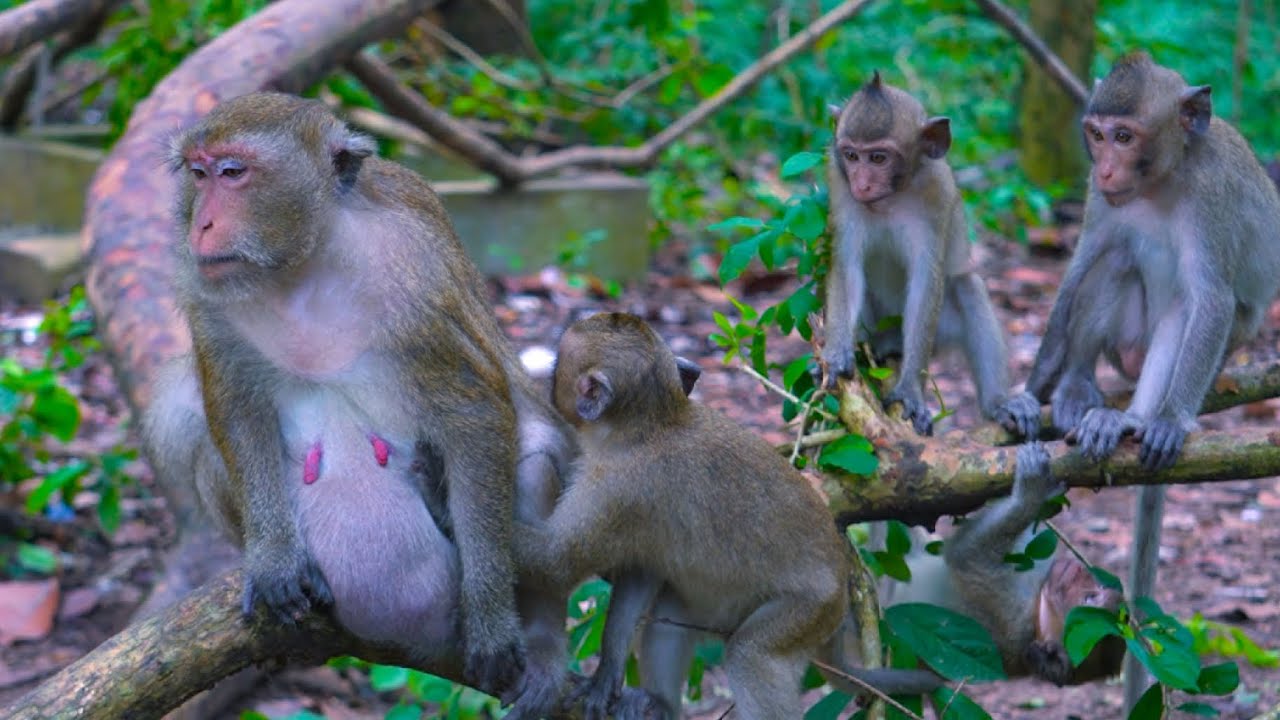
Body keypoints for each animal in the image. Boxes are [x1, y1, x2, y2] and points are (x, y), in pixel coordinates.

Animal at [146, 92, 581, 696]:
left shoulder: (417, 275)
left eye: (233, 173)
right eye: (197, 173)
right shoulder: (205, 288)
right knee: (182, 409)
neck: (304, 265)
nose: (201, 223)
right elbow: (232, 407)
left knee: (535, 449)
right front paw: (275, 560)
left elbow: (475, 412)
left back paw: (541, 647)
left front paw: (492, 620)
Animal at [503, 312, 943, 720]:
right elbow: (644, 569)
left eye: (559, 368)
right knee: (670, 612)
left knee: (751, 655)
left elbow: (558, 562)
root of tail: (840, 587)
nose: (550, 381)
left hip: (810, 609)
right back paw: (662, 703)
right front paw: (609, 669)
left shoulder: (615, 489)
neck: (652, 425)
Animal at [823, 71, 1027, 437]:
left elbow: (925, 282)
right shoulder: (839, 185)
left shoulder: (936, 194)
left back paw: (998, 404)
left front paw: (910, 392)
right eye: (850, 155)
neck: (891, 196)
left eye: (878, 158)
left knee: (967, 286)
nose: (861, 184)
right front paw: (836, 352)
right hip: (873, 325)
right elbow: (848, 267)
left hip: (941, 333)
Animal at [995, 53, 1280, 708]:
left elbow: (1210, 299)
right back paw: (1076, 389)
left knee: (1184, 309)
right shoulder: (1099, 199)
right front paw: (1027, 395)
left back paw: (1131, 419)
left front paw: (1169, 421)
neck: (1161, 181)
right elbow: (1079, 267)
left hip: (1231, 341)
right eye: (1097, 135)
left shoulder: (1211, 199)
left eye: (1126, 137)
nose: (1104, 166)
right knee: (1115, 257)